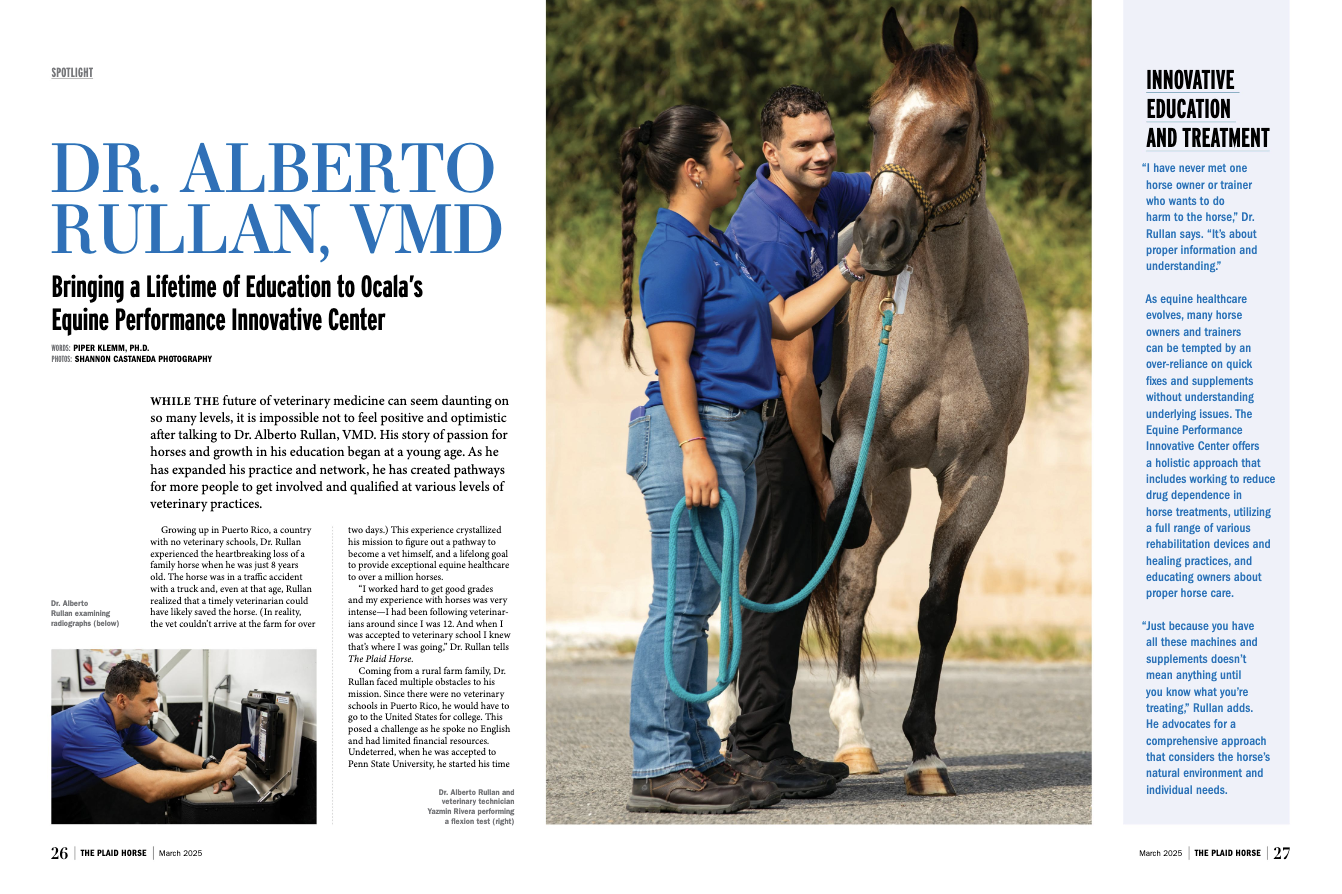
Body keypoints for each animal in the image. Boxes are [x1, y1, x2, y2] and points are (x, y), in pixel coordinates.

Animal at [709, 6, 1029, 798]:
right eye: (876, 117)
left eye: (956, 125)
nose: (883, 239)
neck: (945, 315)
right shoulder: (855, 460)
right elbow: (813, 581)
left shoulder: (976, 474)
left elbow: (932, 608)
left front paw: (926, 753)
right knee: (738, 586)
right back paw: (723, 721)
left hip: (890, 494)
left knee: (851, 588)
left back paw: (853, 740)